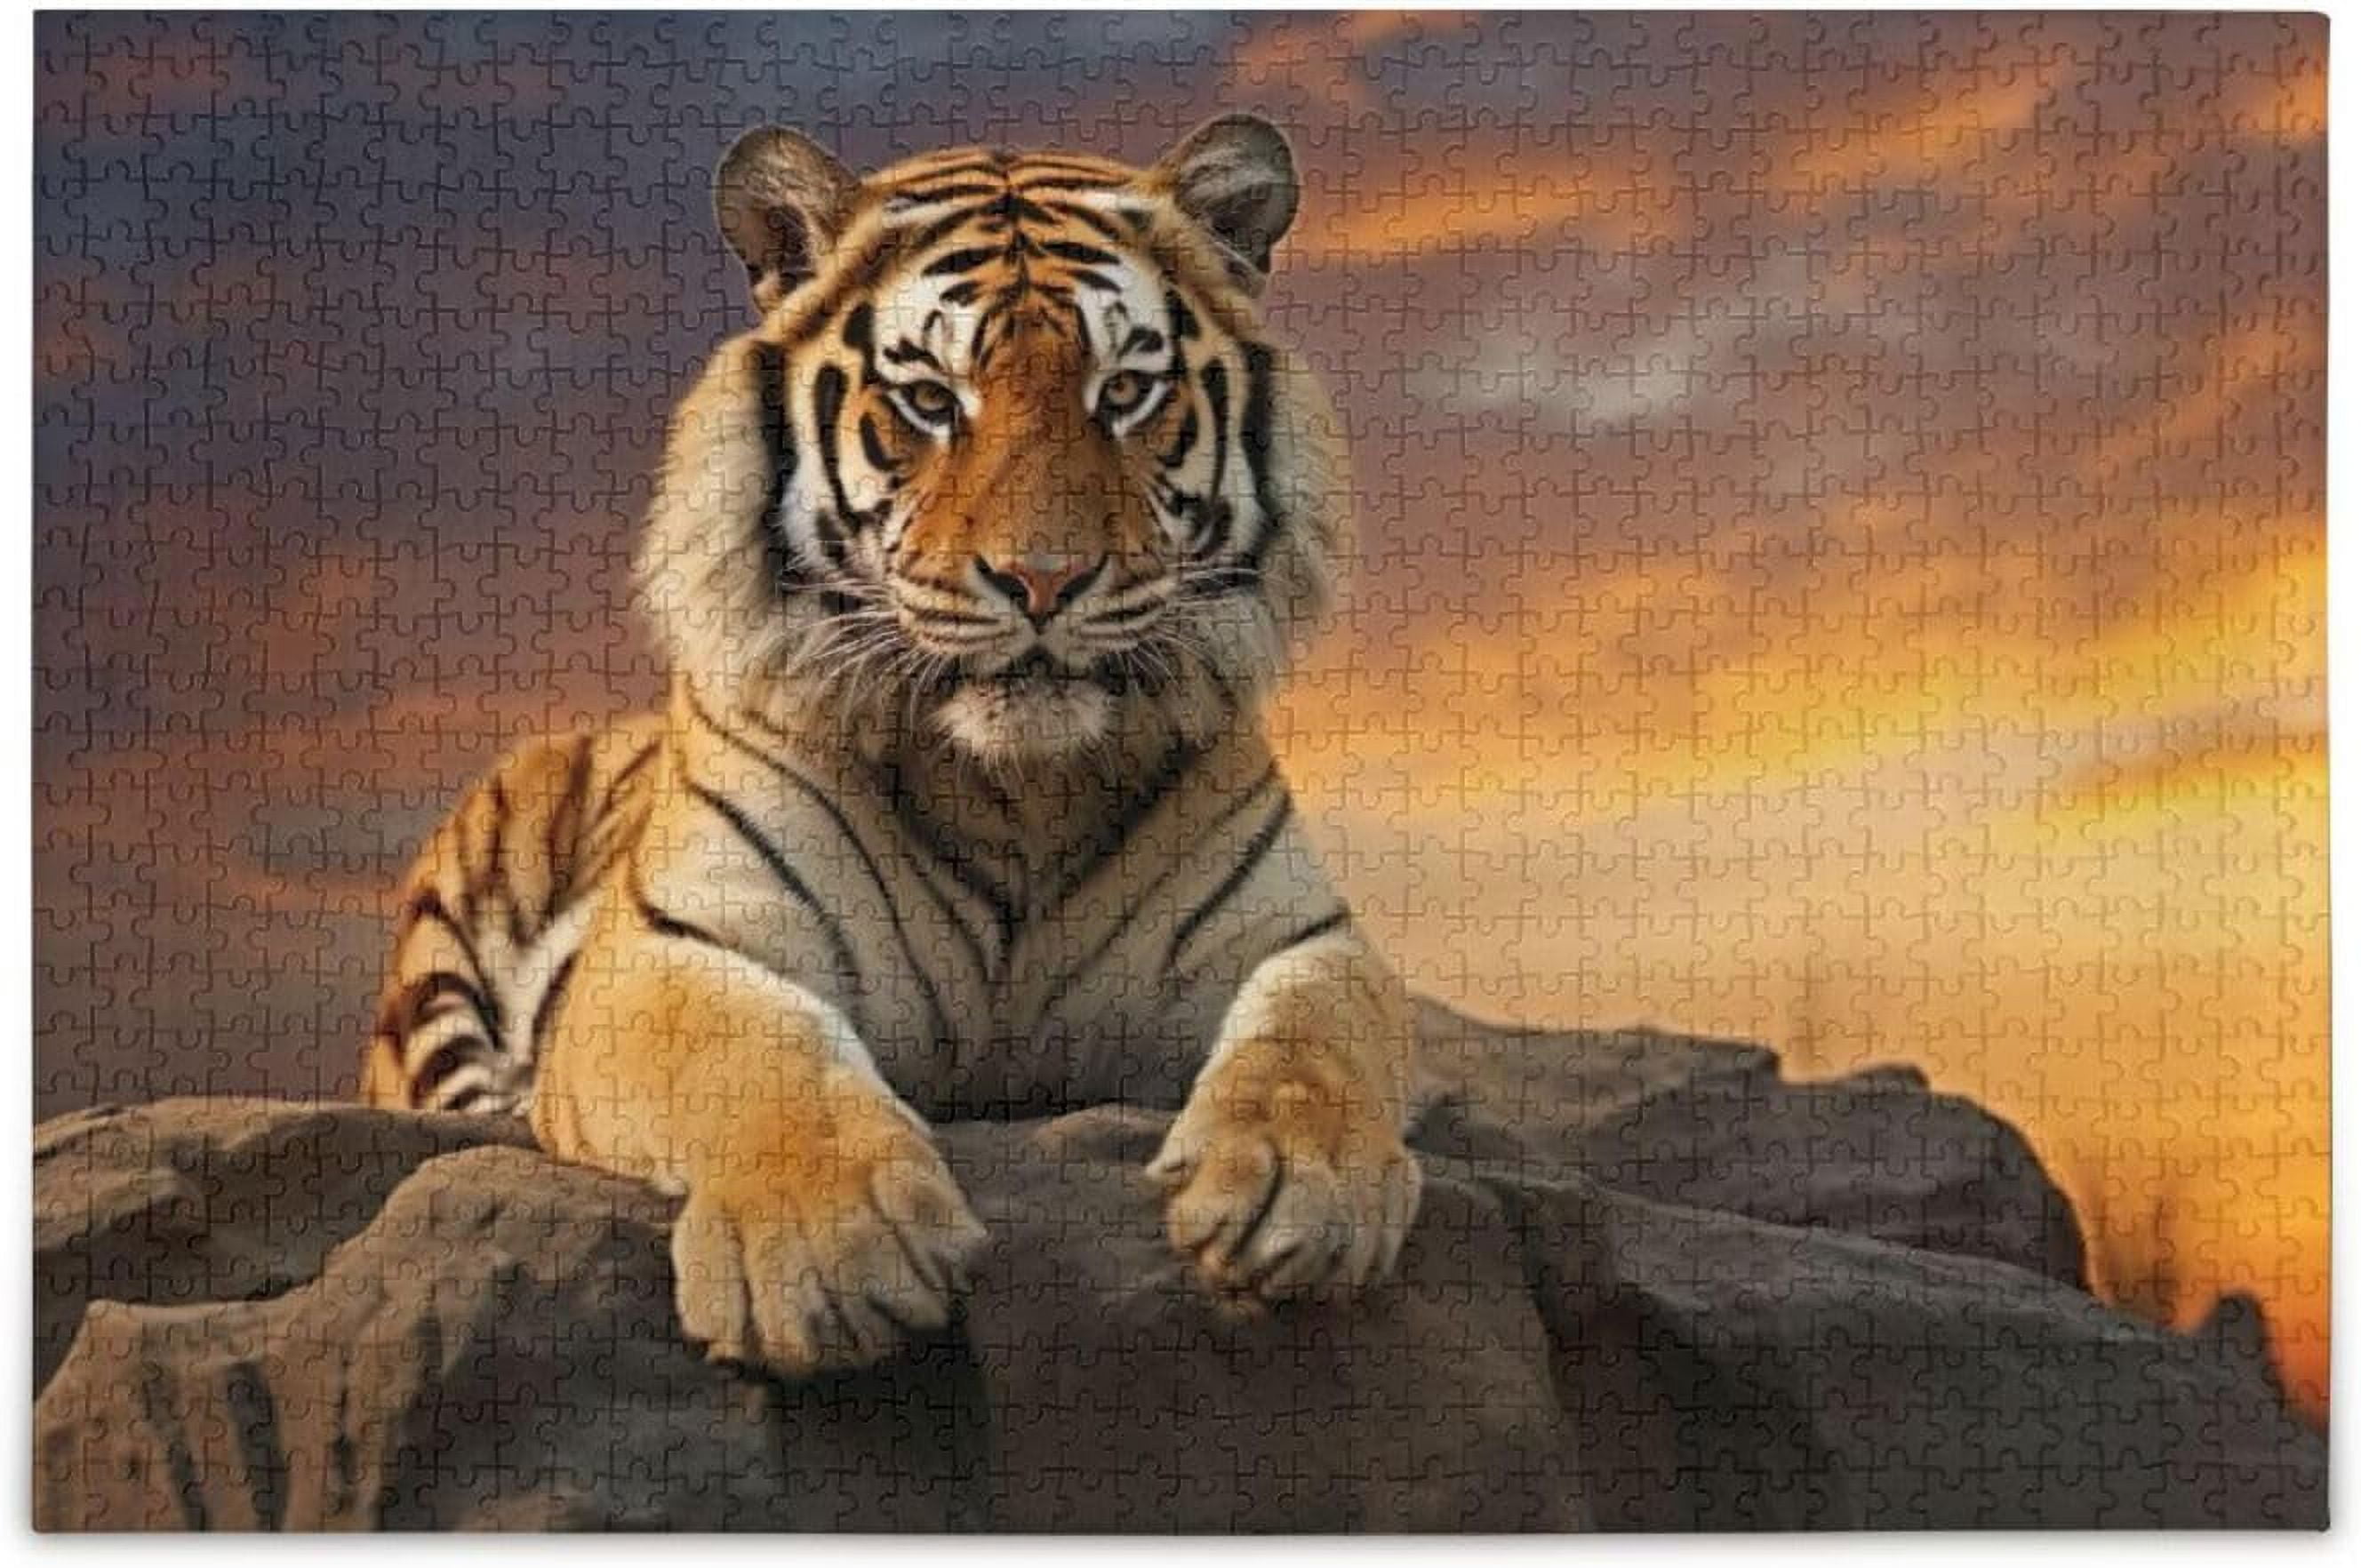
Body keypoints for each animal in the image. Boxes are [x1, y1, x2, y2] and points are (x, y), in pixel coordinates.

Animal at [361, 114, 1421, 1378]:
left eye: (1124, 390)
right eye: (927, 398)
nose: (1043, 580)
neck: (1016, 791)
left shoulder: (1299, 936)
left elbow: (1312, 1045)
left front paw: (1293, 1189)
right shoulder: (678, 947)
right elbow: (754, 1055)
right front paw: (832, 1252)